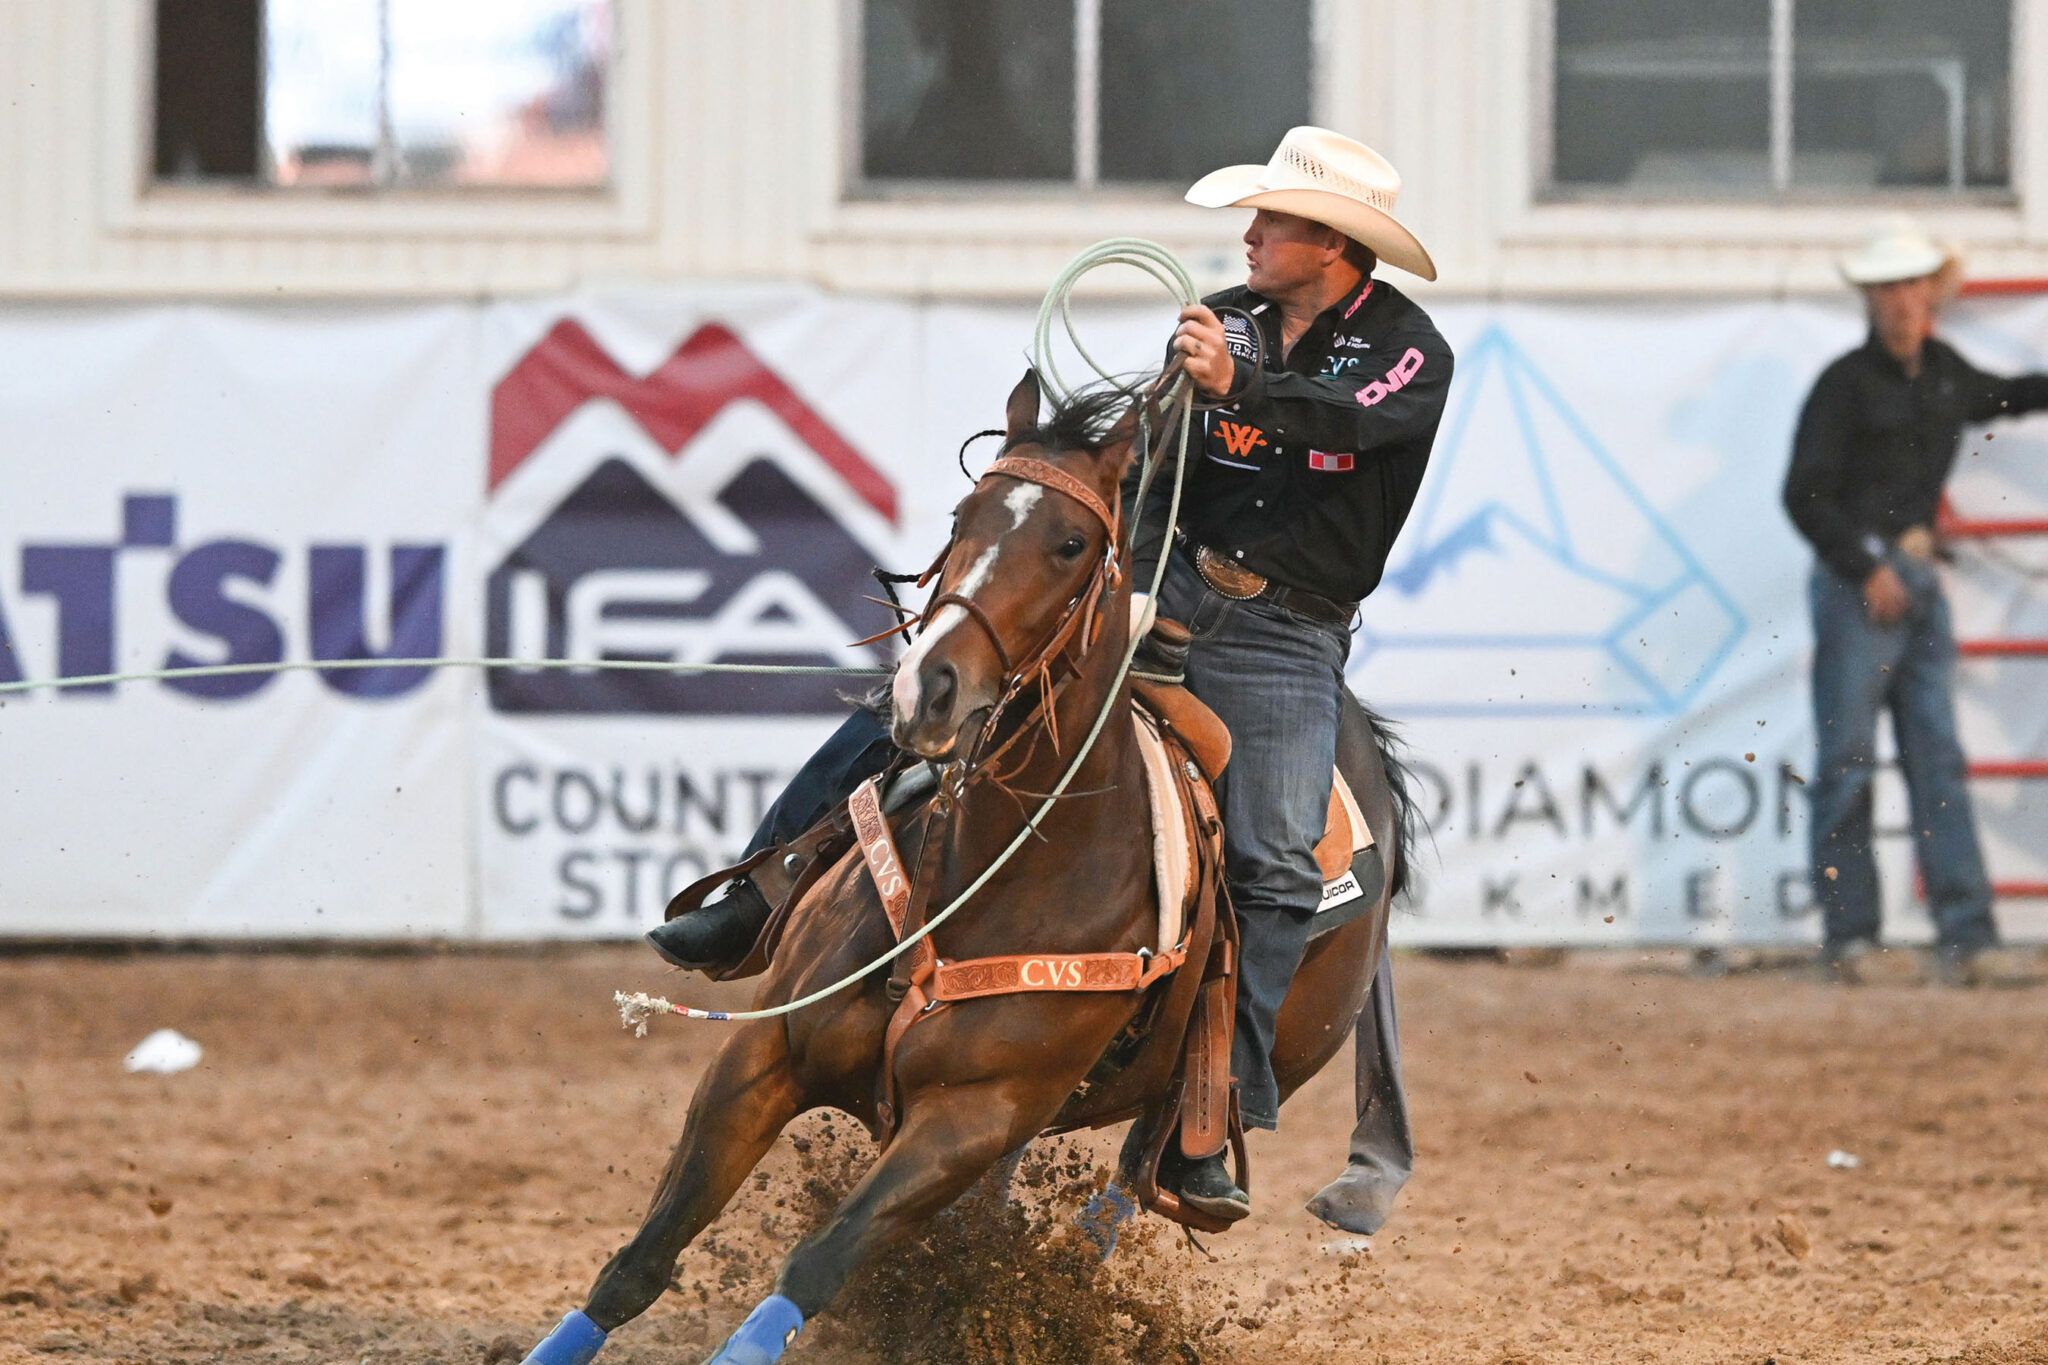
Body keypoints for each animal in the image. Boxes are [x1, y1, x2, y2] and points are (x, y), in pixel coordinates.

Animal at [518, 370, 1417, 1365]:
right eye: (964, 513)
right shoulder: (763, 1054)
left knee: (1134, 1180)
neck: (987, 869)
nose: (929, 687)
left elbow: (816, 1262)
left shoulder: (973, 1115)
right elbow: (642, 1257)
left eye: (1071, 543)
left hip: (1237, 1077)